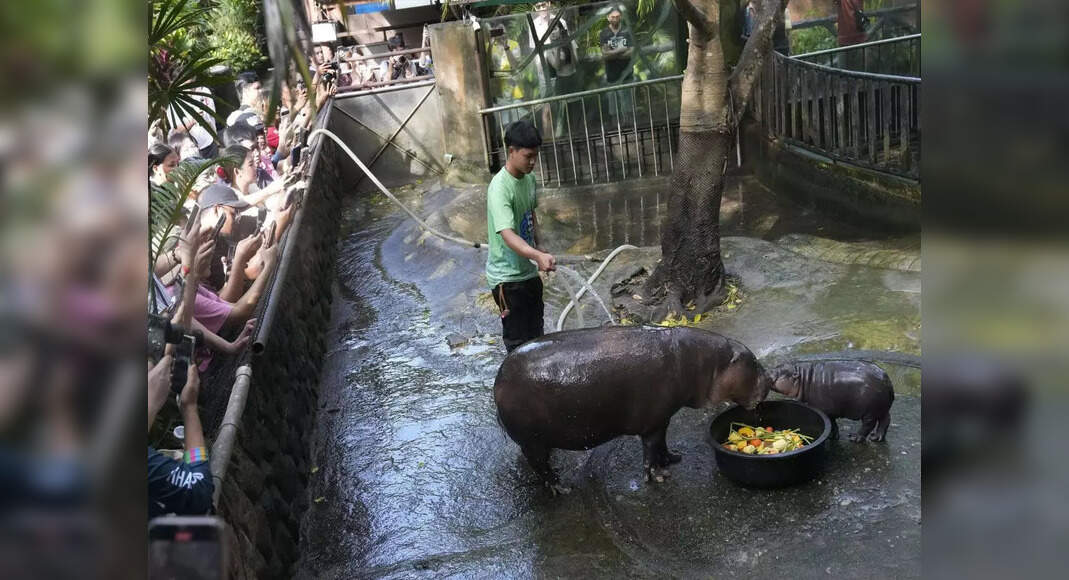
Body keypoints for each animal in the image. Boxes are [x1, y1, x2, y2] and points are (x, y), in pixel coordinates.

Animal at [493, 326, 771, 492]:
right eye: (753, 362)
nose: (770, 379)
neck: (705, 362)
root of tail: (499, 377)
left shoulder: (663, 418)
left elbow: (662, 444)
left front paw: (674, 458)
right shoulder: (652, 423)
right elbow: (650, 450)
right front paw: (659, 477)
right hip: (532, 441)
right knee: (540, 467)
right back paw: (561, 488)